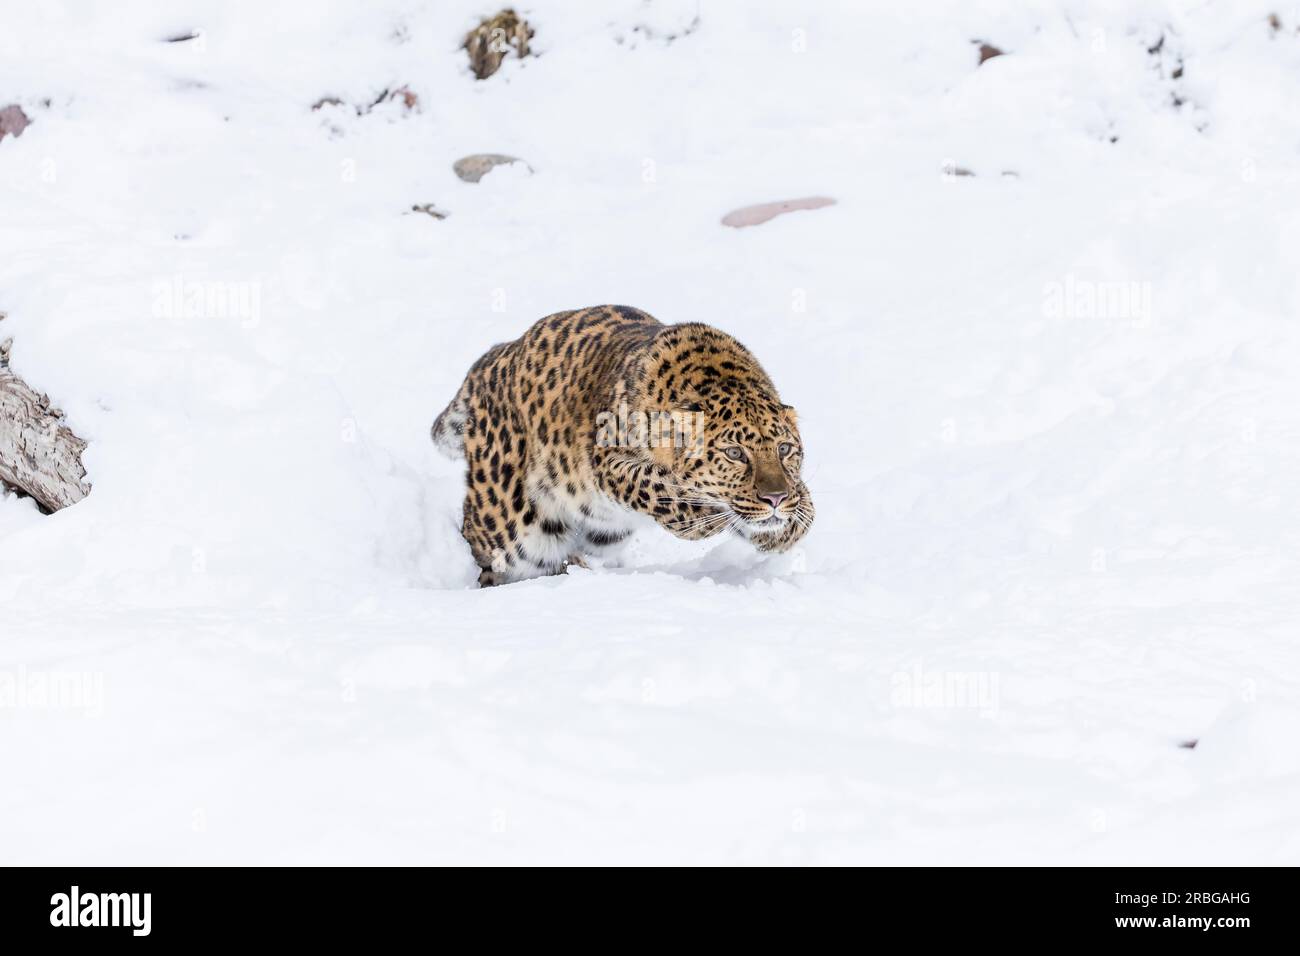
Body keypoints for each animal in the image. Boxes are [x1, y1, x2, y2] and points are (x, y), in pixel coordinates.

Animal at [431, 305, 814, 586]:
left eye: (784, 449)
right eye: (735, 453)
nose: (775, 498)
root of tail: (495, 359)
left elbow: (802, 510)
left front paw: (783, 529)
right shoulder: (608, 464)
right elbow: (658, 488)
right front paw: (705, 518)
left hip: (600, 534)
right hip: (509, 524)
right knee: (480, 542)